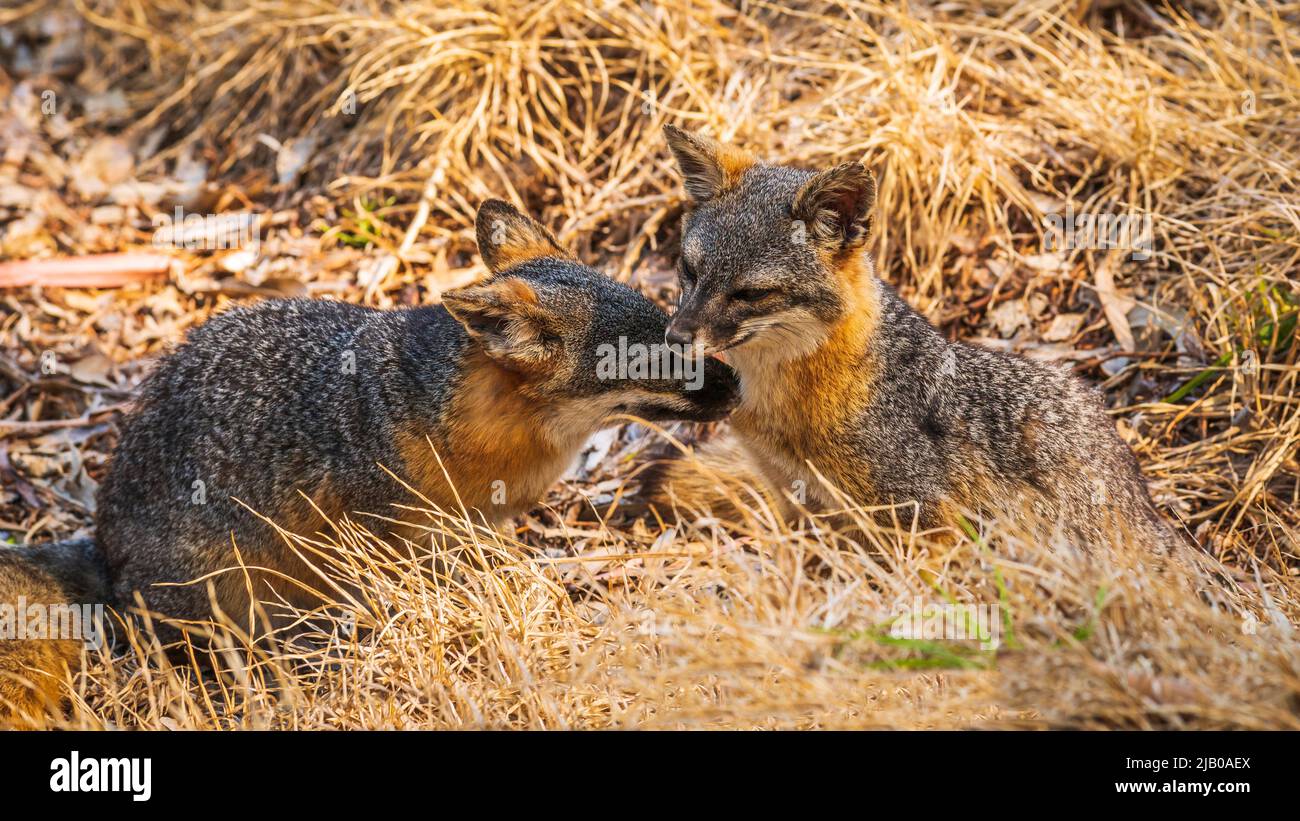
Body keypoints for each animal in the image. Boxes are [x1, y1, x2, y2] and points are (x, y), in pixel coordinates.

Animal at [1, 199, 736, 718]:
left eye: (674, 331)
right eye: (647, 358)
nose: (735, 386)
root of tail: (104, 545)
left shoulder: (467, 531)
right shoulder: (389, 539)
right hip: (236, 587)